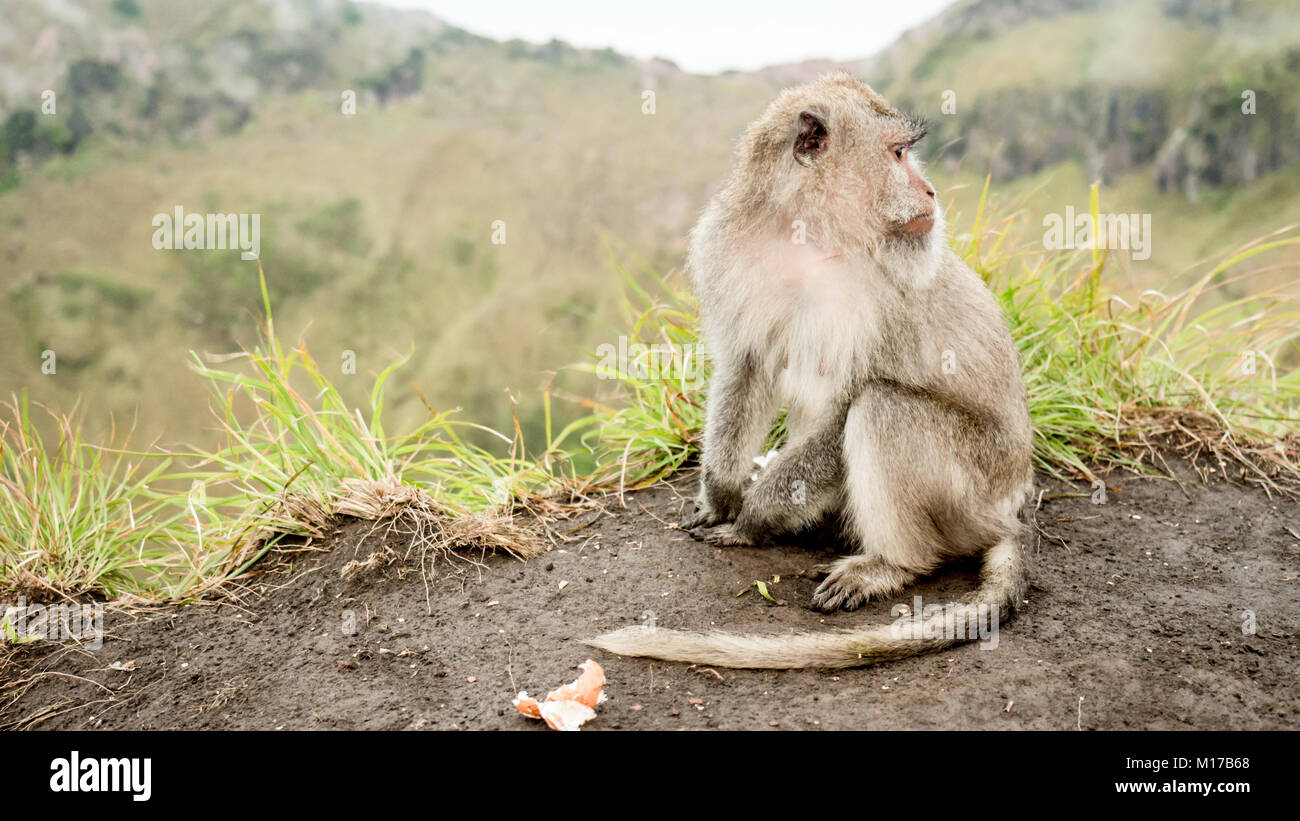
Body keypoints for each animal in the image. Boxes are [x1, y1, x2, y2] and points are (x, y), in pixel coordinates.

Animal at [588, 73, 1034, 669]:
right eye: (898, 154)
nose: (930, 193)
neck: (810, 235)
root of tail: (1012, 509)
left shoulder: (877, 295)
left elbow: (846, 405)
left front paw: (751, 518)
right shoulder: (728, 247)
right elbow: (747, 365)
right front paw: (721, 495)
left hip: (973, 494)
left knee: (882, 407)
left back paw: (891, 563)